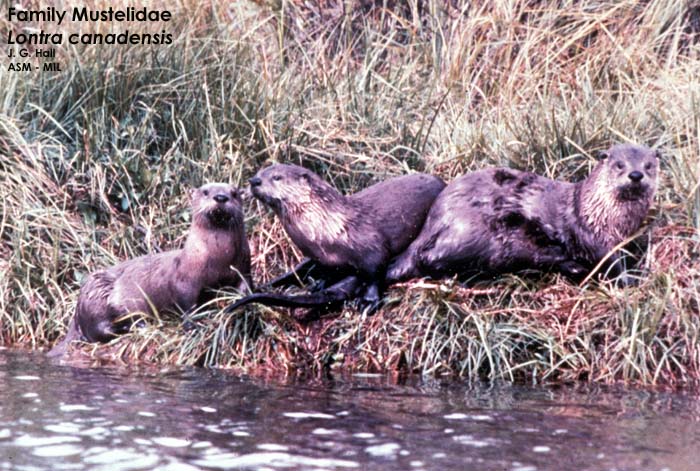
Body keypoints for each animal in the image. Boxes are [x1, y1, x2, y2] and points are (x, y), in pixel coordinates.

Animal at [49, 183, 251, 356]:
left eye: (234, 193)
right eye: (206, 192)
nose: (221, 197)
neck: (217, 259)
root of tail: (76, 312)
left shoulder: (243, 266)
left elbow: (245, 284)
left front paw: (242, 301)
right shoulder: (185, 279)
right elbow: (185, 302)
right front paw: (192, 324)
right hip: (97, 296)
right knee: (98, 330)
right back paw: (133, 326)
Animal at [228, 164, 446, 314]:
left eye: (277, 177)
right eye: (260, 172)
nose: (254, 181)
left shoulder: (372, 247)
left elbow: (375, 273)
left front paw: (368, 301)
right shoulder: (321, 257)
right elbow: (327, 271)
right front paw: (319, 283)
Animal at [387, 144, 659, 283]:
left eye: (649, 165)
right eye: (619, 165)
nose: (636, 174)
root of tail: (434, 217)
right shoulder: (594, 237)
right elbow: (611, 263)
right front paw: (633, 278)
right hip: (475, 234)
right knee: (429, 259)